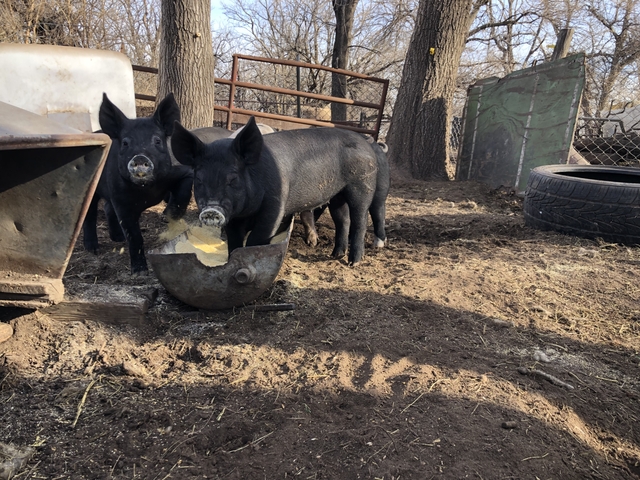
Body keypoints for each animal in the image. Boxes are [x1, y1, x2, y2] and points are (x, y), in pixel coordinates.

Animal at [82, 93, 193, 275]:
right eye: (125, 143)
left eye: (157, 141)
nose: (140, 157)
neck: (146, 191)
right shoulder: (121, 200)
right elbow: (134, 235)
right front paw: (140, 272)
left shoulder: (181, 173)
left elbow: (183, 192)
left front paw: (168, 217)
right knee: (90, 214)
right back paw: (93, 249)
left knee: (106, 207)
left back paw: (118, 239)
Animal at [170, 116, 378, 265]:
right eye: (199, 179)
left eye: (233, 179)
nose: (211, 209)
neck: (247, 213)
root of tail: (366, 143)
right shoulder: (233, 217)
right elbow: (234, 241)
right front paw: (229, 264)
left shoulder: (275, 206)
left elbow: (257, 238)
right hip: (337, 195)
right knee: (343, 220)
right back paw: (335, 255)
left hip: (363, 185)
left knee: (360, 220)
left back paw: (353, 262)